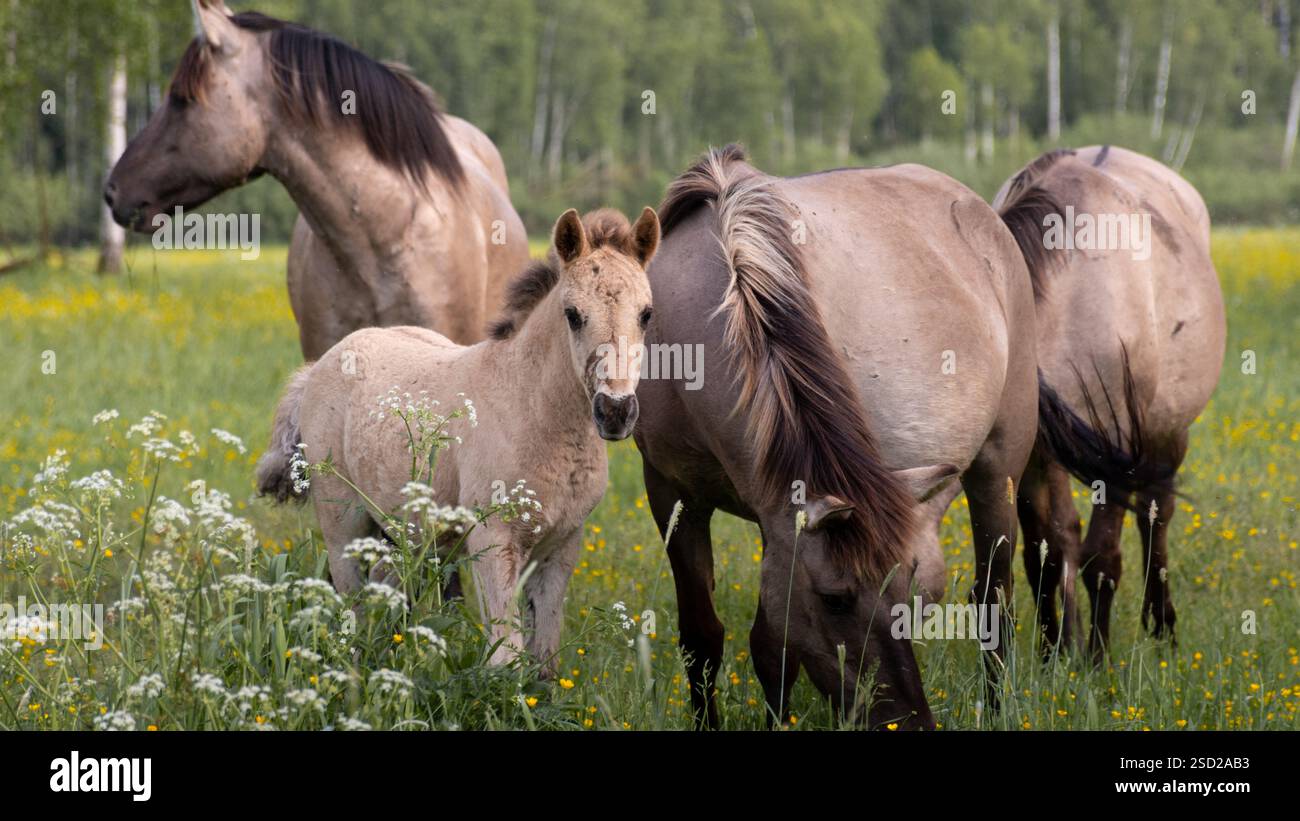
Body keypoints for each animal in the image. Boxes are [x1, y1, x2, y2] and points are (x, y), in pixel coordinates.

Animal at [256, 207, 660, 669]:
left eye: (646, 314)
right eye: (572, 314)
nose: (615, 411)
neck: (530, 407)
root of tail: (322, 364)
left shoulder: (561, 546)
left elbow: (544, 661)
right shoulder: (493, 539)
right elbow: (505, 656)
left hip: (400, 529)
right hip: (343, 521)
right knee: (353, 603)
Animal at [633, 145, 1043, 729]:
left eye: (900, 584)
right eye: (834, 599)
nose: (907, 722)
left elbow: (772, 647)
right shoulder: (677, 495)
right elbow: (707, 639)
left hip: (997, 471)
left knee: (995, 597)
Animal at [994, 145, 1226, 660]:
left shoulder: (1116, 450)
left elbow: (1101, 557)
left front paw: (1097, 662)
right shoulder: (1037, 451)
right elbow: (1046, 549)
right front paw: (1055, 654)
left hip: (1166, 430)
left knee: (1156, 514)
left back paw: (1163, 626)